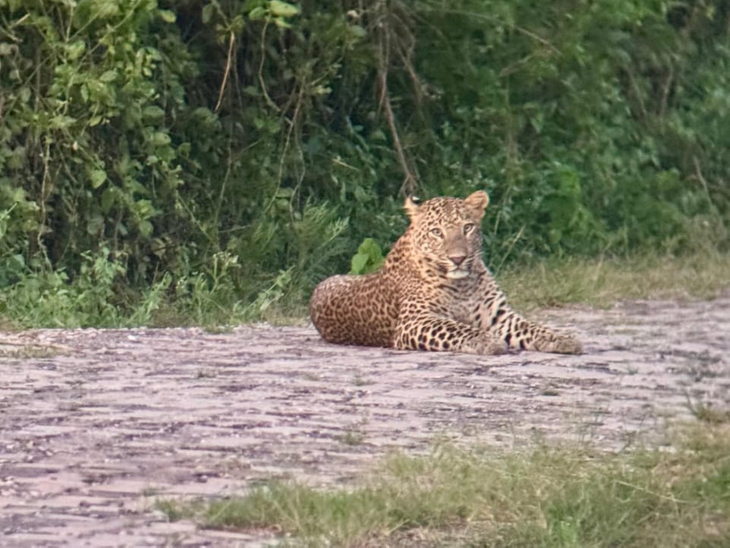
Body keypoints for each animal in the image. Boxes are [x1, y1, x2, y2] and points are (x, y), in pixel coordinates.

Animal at [310, 190, 582, 356]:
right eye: (436, 232)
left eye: (467, 228)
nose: (458, 258)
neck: (463, 285)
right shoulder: (415, 321)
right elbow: (457, 328)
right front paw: (488, 341)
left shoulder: (498, 316)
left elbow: (532, 327)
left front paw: (563, 339)